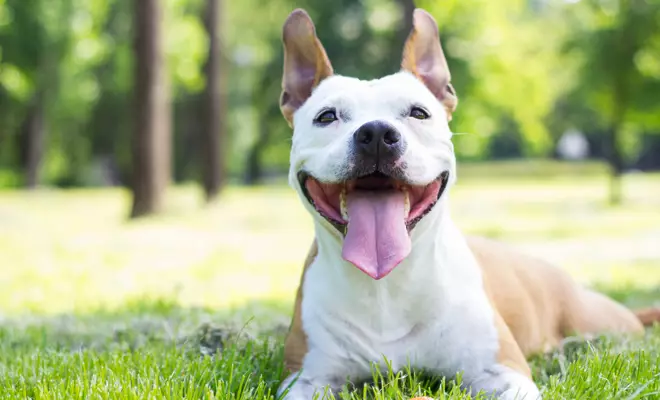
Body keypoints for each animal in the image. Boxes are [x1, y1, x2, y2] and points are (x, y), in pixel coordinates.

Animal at [274, 7, 660, 400]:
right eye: (326, 116)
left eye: (418, 113)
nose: (377, 133)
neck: (386, 285)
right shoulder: (306, 379)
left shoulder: (504, 370)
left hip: (603, 324)